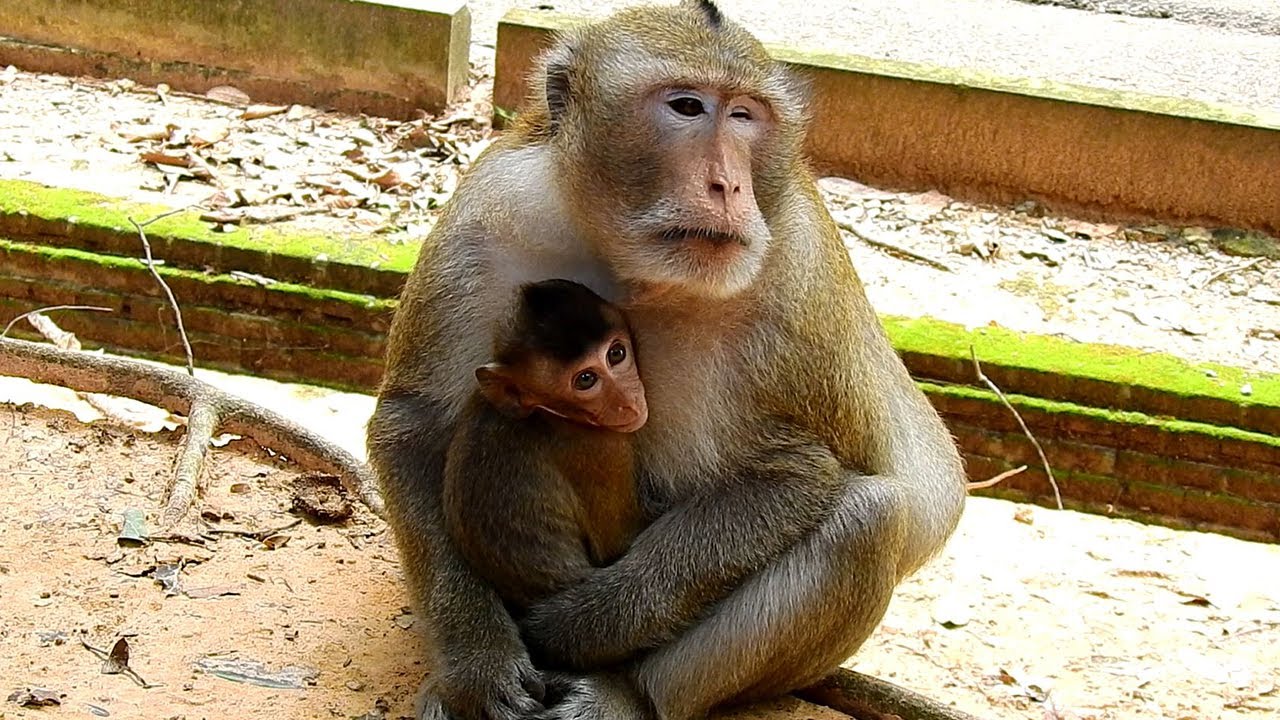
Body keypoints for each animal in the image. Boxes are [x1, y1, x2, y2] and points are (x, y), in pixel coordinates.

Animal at [442, 279, 648, 614]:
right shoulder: (601, 453)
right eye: (586, 379)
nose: (628, 403)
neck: (549, 413)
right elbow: (615, 544)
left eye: (616, 354)